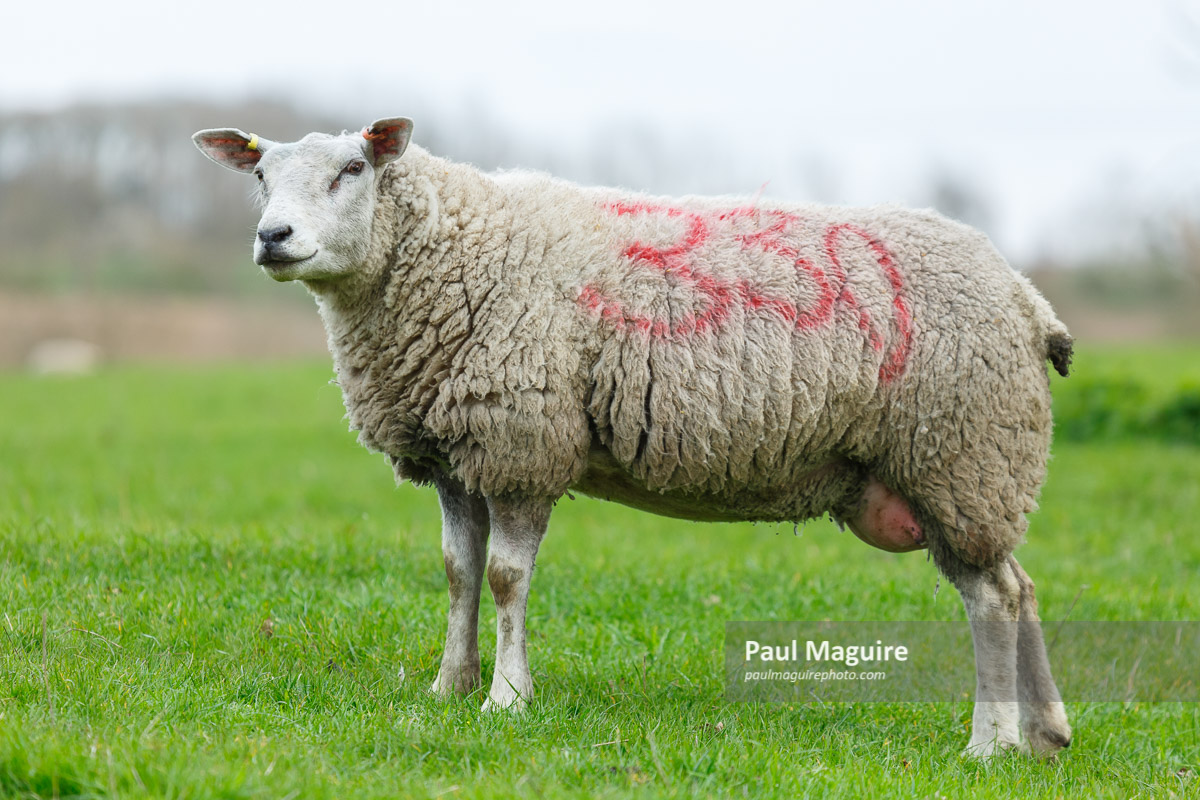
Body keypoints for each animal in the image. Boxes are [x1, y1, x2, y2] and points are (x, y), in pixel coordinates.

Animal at [193, 117, 1074, 758]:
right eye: (262, 177)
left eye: (352, 169)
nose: (274, 236)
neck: (448, 253)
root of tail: (1028, 299)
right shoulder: (456, 457)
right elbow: (458, 574)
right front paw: (449, 686)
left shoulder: (524, 443)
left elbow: (506, 579)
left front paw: (507, 699)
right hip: (962, 473)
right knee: (1019, 585)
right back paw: (1046, 735)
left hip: (962, 452)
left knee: (993, 598)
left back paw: (988, 744)